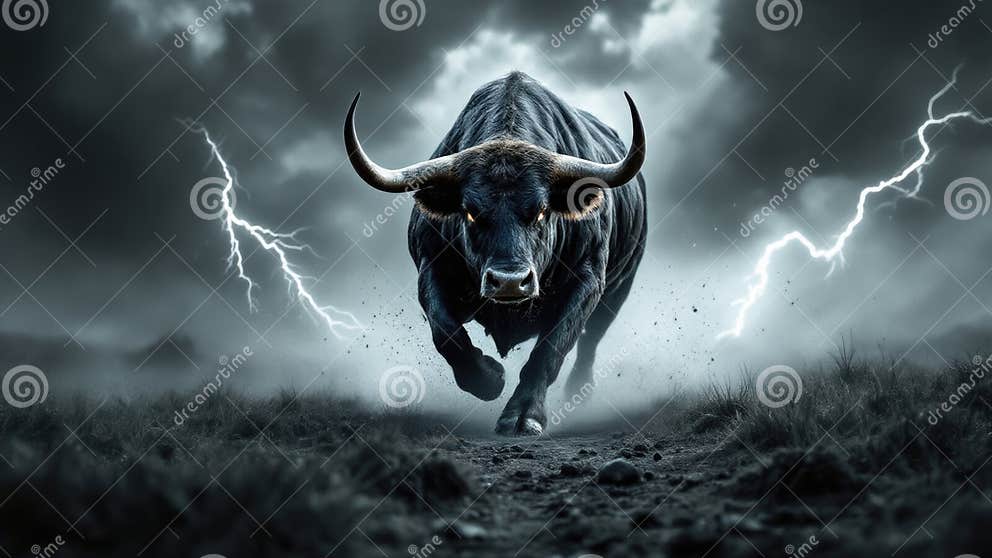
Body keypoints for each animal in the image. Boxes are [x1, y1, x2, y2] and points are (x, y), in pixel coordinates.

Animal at [345, 72, 646, 436]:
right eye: (470, 211)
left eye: (542, 211)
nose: (509, 282)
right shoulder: (431, 270)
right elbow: (446, 334)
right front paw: (490, 378)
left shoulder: (588, 282)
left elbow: (551, 348)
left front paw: (524, 415)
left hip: (618, 289)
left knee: (590, 341)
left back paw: (579, 390)